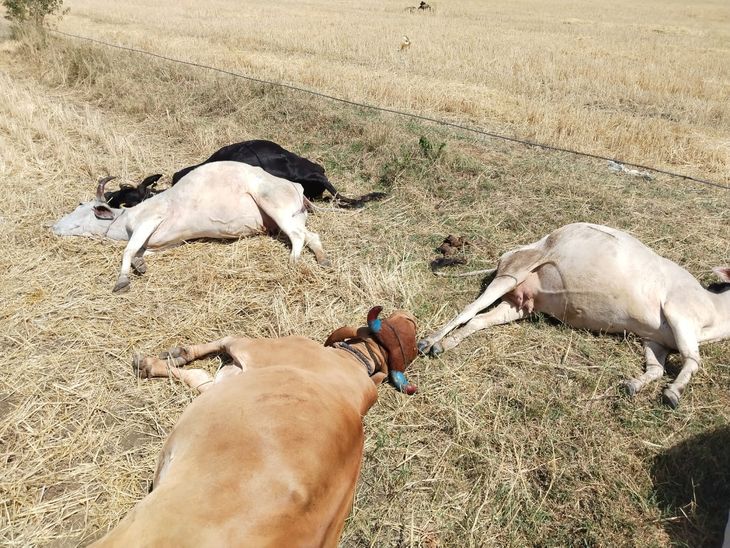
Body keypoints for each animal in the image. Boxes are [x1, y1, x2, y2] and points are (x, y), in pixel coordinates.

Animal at [52, 162, 329, 293]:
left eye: (84, 206)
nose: (53, 226)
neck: (125, 219)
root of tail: (296, 187)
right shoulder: (168, 241)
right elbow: (140, 252)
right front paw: (140, 265)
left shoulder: (149, 220)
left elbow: (128, 250)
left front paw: (122, 280)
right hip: (291, 217)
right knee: (311, 235)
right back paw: (322, 259)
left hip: (274, 207)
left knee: (297, 236)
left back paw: (292, 263)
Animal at [90, 307, 419, 547]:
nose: (412, 317)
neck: (354, 363)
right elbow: (200, 376)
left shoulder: (256, 348)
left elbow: (226, 339)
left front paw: (158, 360)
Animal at [417, 223, 730, 408]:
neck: (715, 305)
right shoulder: (680, 313)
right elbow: (692, 359)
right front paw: (674, 393)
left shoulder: (655, 340)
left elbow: (655, 368)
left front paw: (633, 385)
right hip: (512, 273)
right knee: (467, 311)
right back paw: (428, 341)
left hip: (519, 303)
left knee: (480, 320)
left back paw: (445, 345)